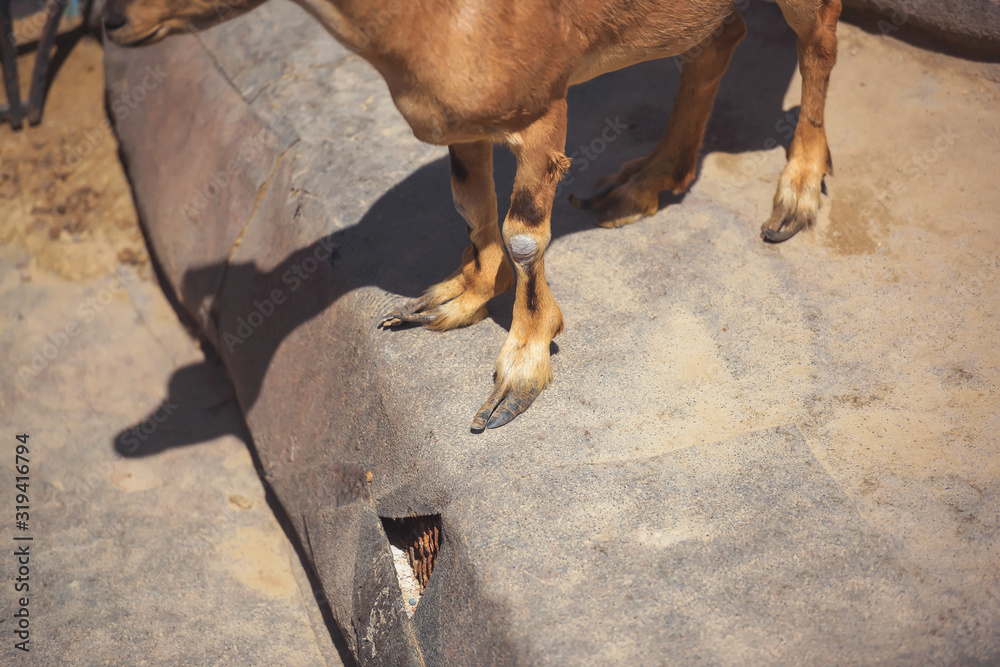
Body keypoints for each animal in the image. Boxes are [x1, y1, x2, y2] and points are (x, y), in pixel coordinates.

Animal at [104, 0, 840, 431]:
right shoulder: (463, 118)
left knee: (818, 41)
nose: (111, 18)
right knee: (719, 38)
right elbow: (468, 197)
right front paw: (448, 301)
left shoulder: (544, 111)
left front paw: (519, 372)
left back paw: (797, 192)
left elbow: (524, 235)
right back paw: (643, 184)